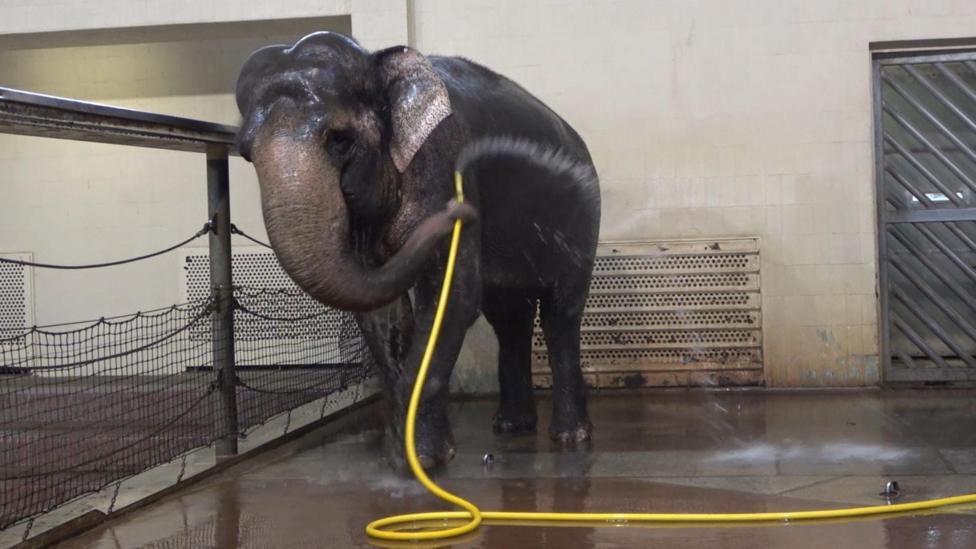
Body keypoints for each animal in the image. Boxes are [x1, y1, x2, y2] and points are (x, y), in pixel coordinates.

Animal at [235, 32, 601, 469]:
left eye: (341, 140)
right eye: (245, 153)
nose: (464, 209)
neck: (377, 60)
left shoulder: (443, 160)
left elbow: (453, 295)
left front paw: (422, 460)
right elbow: (382, 312)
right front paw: (397, 458)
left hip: (582, 218)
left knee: (560, 311)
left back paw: (570, 436)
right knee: (508, 316)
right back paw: (512, 427)